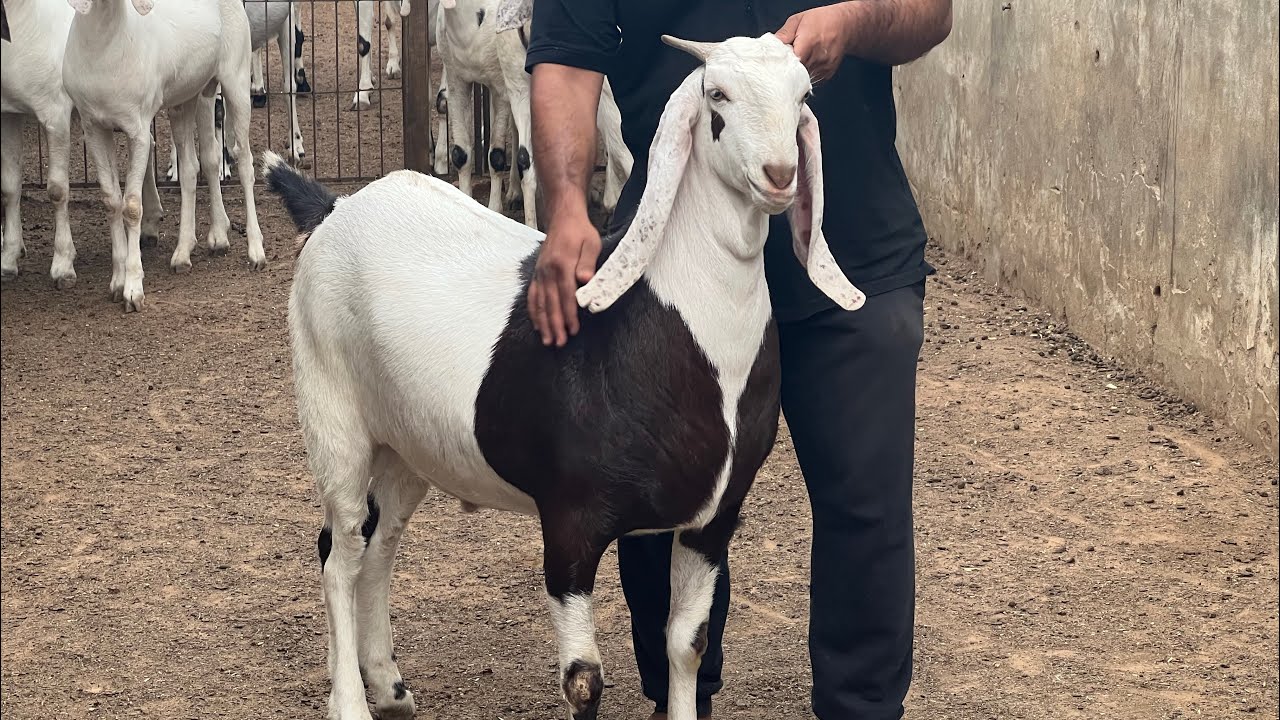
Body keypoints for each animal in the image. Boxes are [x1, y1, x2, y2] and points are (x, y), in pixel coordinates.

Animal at [63, 0, 265, 312]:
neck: (105, 50)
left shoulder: (138, 128)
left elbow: (132, 205)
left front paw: (133, 290)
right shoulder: (93, 127)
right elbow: (111, 201)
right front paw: (117, 282)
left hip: (236, 79)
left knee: (245, 164)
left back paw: (256, 252)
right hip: (189, 97)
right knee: (194, 167)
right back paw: (183, 254)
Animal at [262, 32, 863, 720]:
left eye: (803, 95)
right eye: (717, 95)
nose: (780, 175)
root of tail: (335, 207)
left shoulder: (712, 521)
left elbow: (688, 645)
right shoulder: (570, 522)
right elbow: (584, 679)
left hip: (408, 445)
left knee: (379, 546)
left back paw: (389, 685)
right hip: (334, 418)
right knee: (339, 553)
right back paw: (353, 700)